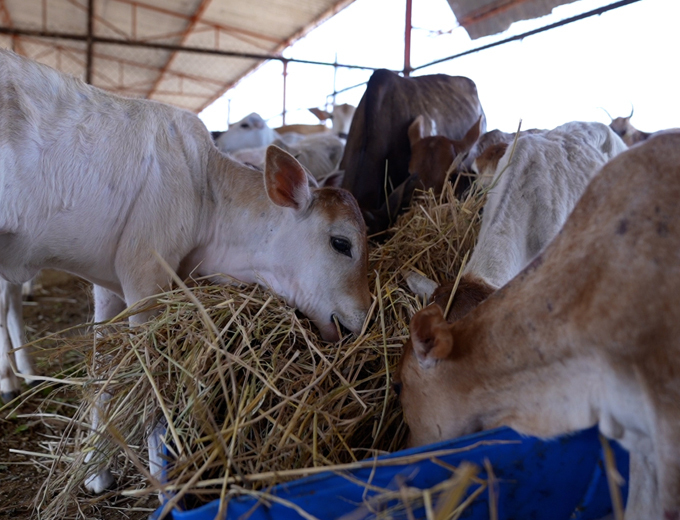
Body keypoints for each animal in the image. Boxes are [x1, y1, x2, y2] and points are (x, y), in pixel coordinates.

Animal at [0, 49, 372, 491]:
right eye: (341, 243)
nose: (365, 317)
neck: (205, 196)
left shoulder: (108, 286)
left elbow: (102, 372)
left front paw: (96, 470)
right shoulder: (144, 270)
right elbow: (148, 377)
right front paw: (160, 477)